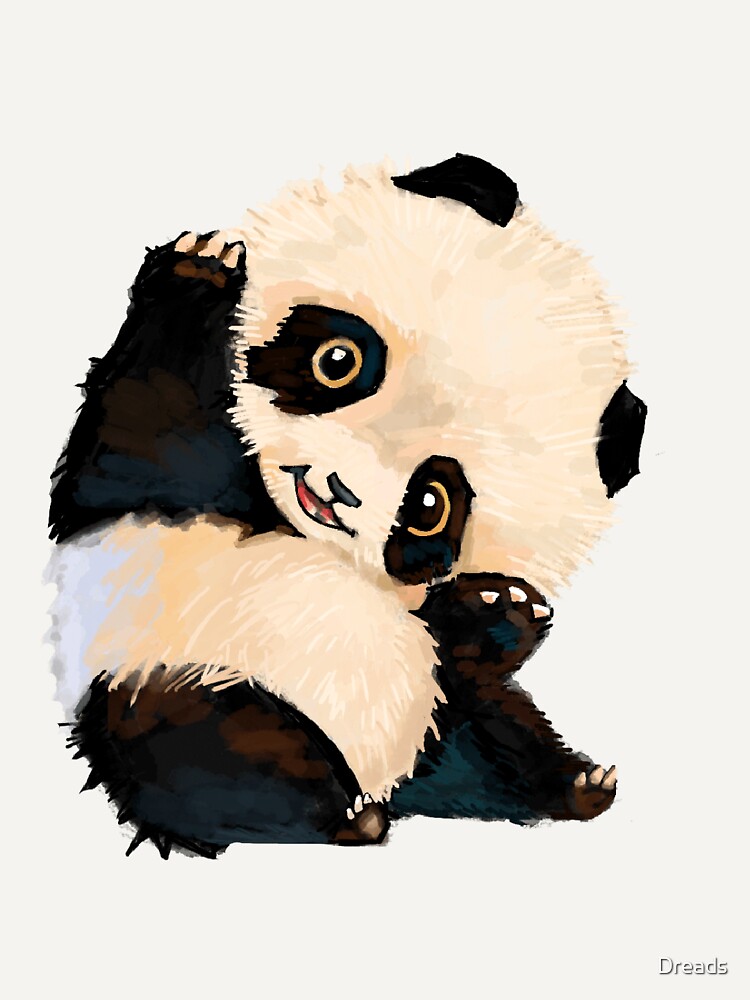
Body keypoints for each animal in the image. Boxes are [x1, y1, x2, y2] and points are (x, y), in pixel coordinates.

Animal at [48, 154, 646, 855]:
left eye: (431, 504)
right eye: (338, 361)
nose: (338, 491)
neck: (302, 532)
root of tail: (372, 777)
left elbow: (449, 639)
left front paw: (508, 605)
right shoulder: (154, 497)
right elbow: (142, 441)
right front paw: (201, 269)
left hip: (426, 722)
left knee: (484, 738)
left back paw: (576, 785)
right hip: (170, 671)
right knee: (192, 741)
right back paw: (334, 814)